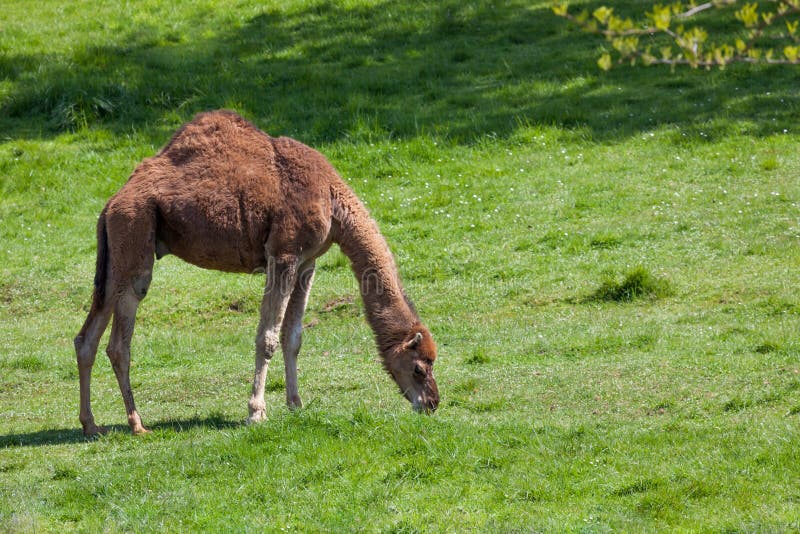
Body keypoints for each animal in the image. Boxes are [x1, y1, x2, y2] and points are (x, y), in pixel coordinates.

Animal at [73, 110, 439, 436]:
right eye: (419, 367)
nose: (432, 403)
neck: (333, 202)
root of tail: (110, 203)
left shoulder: (306, 263)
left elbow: (294, 336)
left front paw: (296, 404)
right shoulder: (283, 254)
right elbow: (268, 337)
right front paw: (256, 413)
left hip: (116, 254)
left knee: (87, 336)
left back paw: (92, 425)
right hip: (134, 235)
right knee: (119, 340)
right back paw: (137, 424)